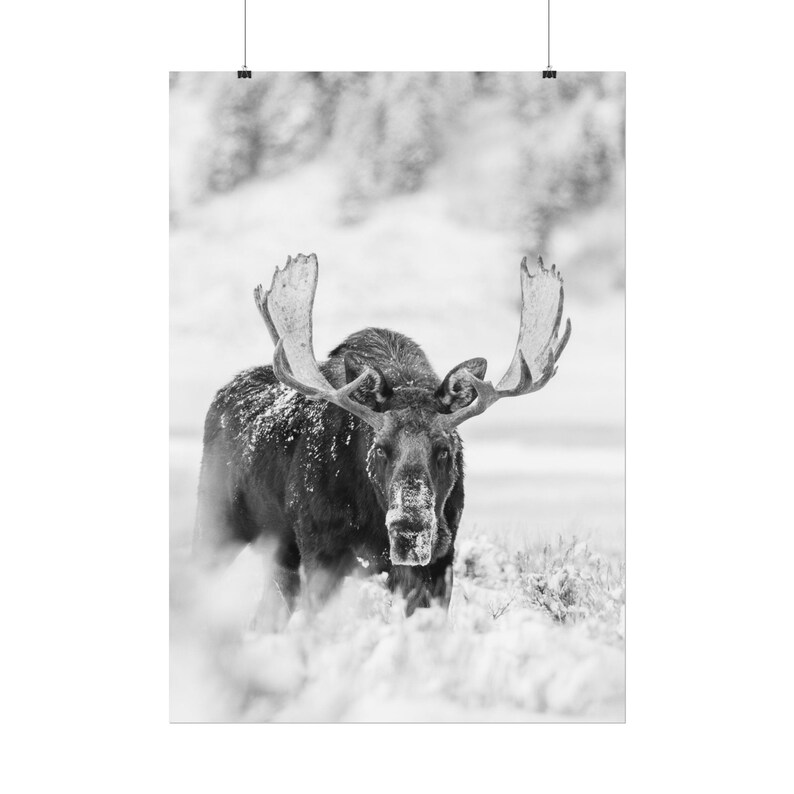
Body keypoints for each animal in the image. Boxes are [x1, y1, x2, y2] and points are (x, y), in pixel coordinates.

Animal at [194, 253, 570, 620]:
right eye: (379, 449)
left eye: (445, 449)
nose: (410, 532)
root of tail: (221, 395)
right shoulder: (320, 552)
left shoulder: (440, 564)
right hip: (218, 524)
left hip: (281, 552)